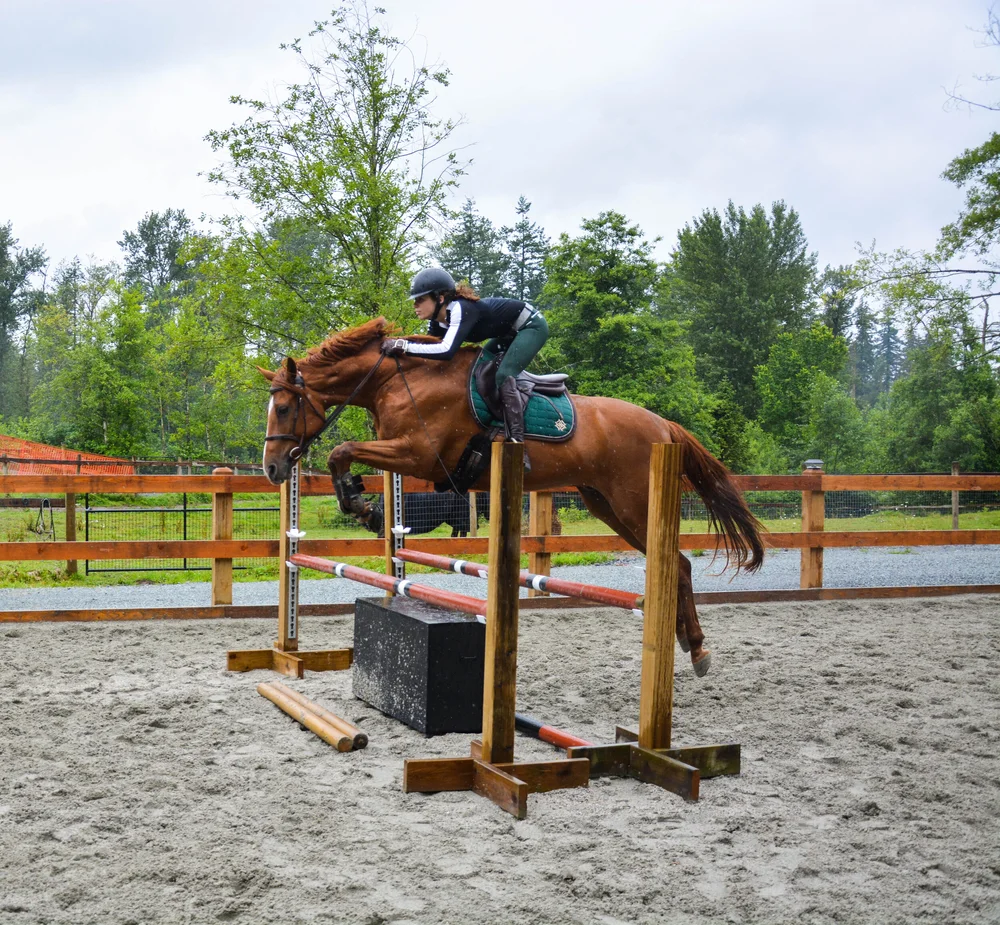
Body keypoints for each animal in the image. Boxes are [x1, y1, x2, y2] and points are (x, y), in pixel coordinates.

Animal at [259, 317, 765, 676]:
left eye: (283, 407)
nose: (273, 469)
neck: (396, 380)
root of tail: (663, 425)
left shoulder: (417, 454)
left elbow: (342, 450)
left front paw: (357, 503)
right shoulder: (405, 456)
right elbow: (346, 458)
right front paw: (363, 506)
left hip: (634, 503)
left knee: (675, 562)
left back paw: (695, 648)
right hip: (607, 506)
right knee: (674, 565)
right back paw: (687, 643)